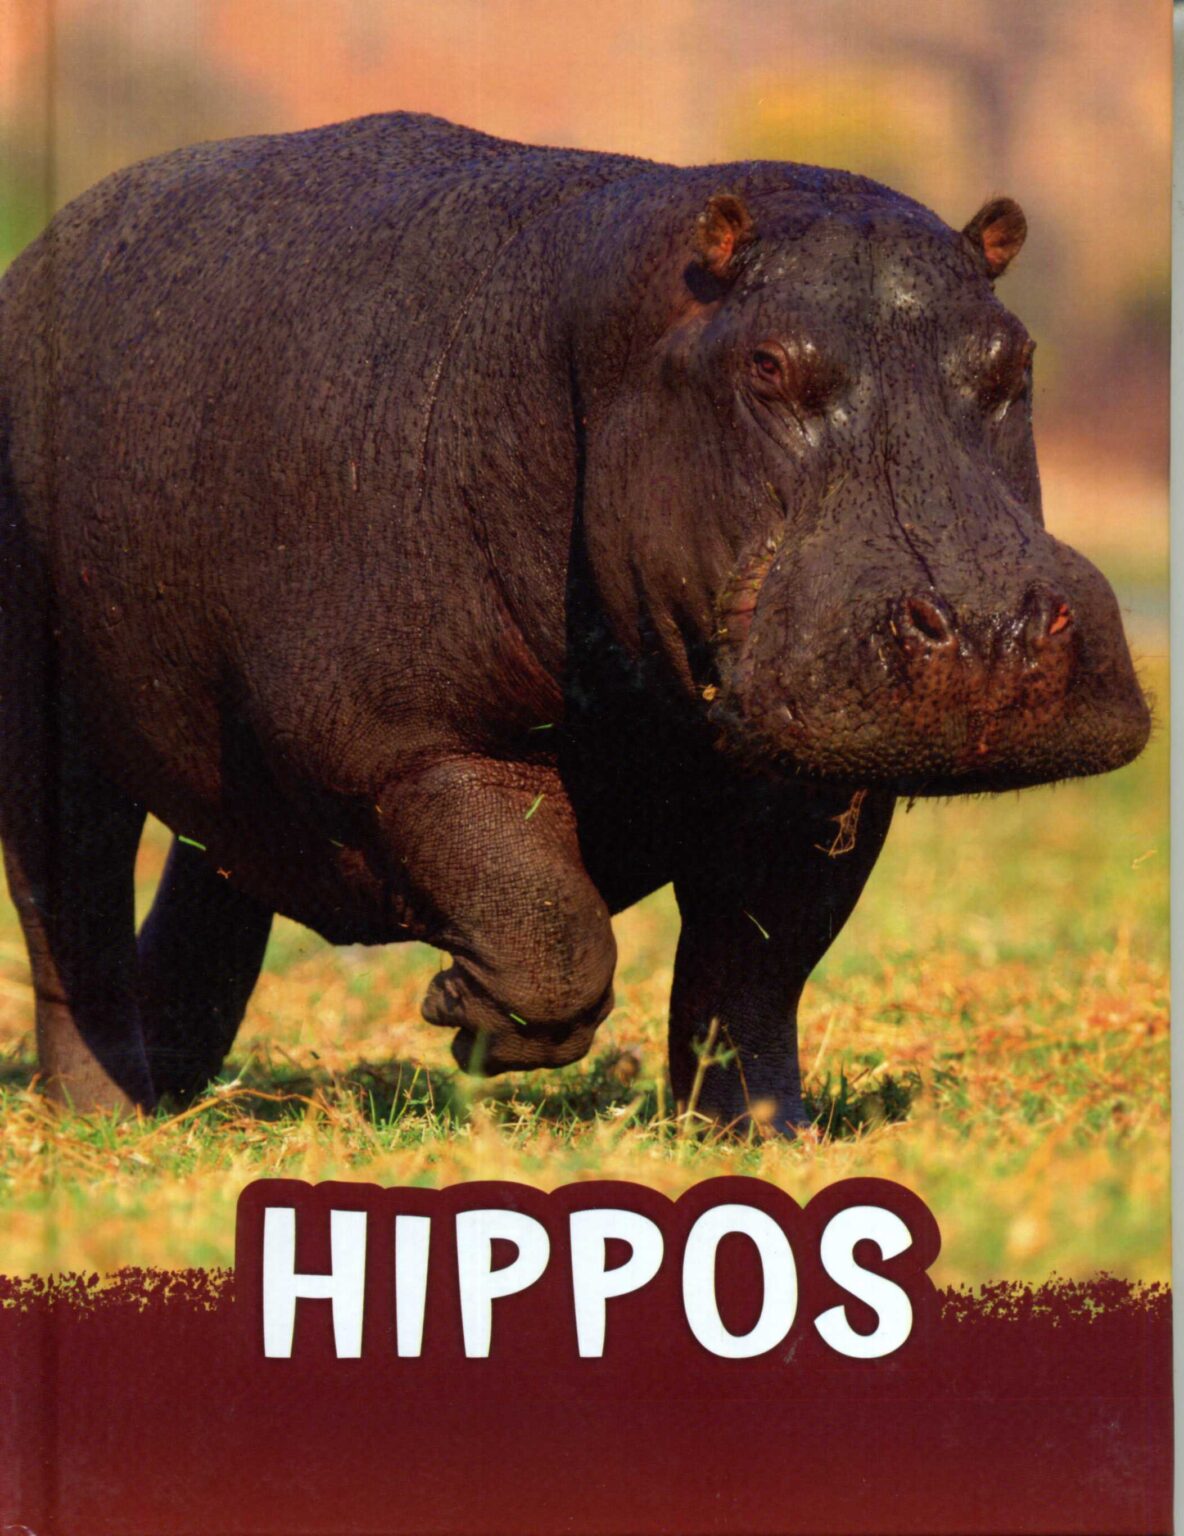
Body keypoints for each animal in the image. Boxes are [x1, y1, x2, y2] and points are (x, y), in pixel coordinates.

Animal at [0, 112, 1149, 1131]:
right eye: (766, 366)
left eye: (1015, 358)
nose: (990, 626)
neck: (609, 343)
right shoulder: (407, 740)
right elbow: (549, 924)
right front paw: (462, 1015)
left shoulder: (819, 773)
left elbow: (751, 972)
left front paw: (759, 1137)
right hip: (56, 729)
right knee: (71, 917)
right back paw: (105, 1117)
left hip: (222, 747)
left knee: (215, 874)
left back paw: (176, 1086)